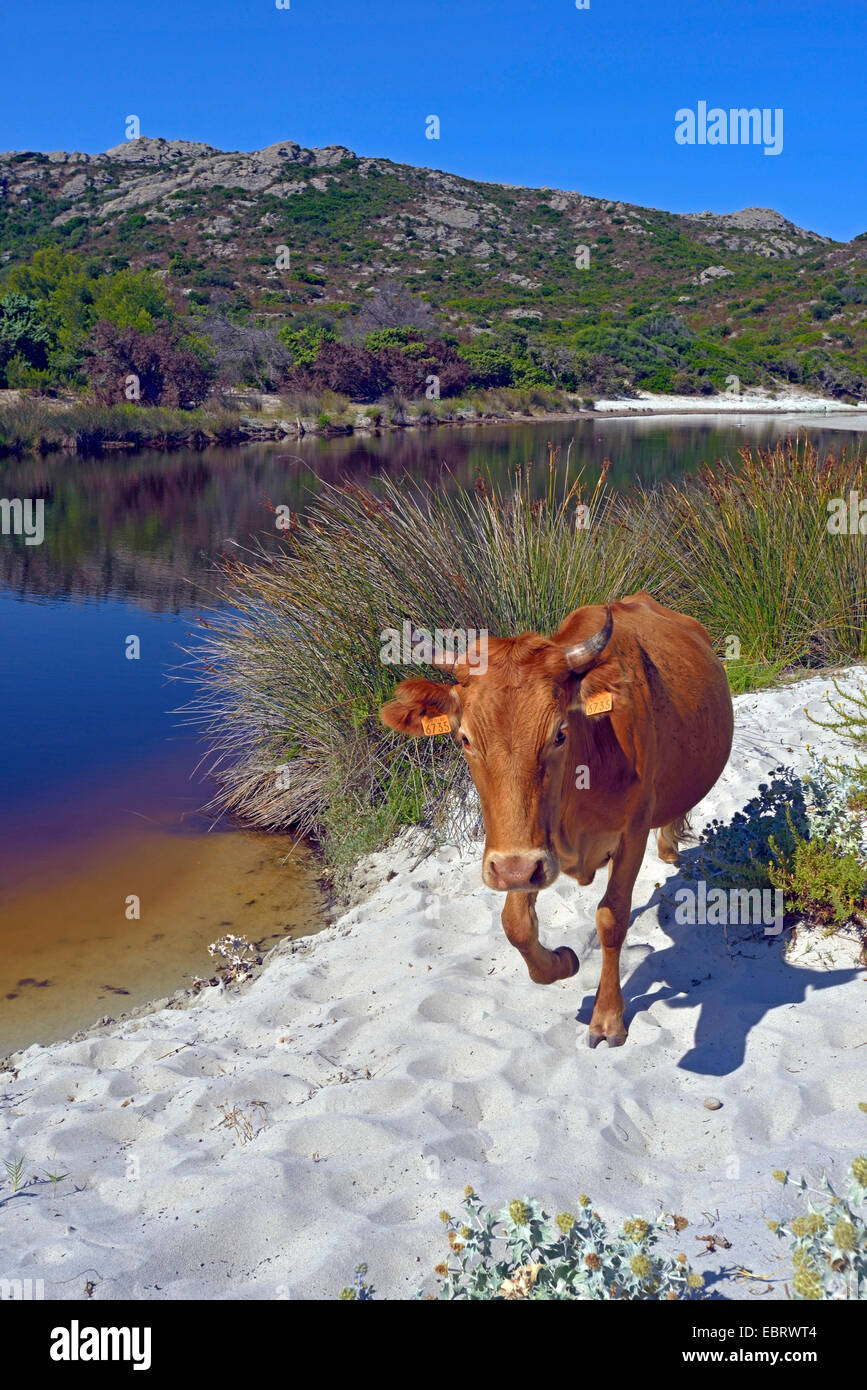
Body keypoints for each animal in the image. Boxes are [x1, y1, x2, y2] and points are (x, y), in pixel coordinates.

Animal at [379, 591, 734, 1047]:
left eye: (560, 733)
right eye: (464, 739)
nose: (513, 869)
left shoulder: (630, 833)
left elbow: (611, 918)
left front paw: (607, 1016)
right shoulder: (525, 851)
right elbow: (515, 923)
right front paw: (562, 962)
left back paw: (670, 844)